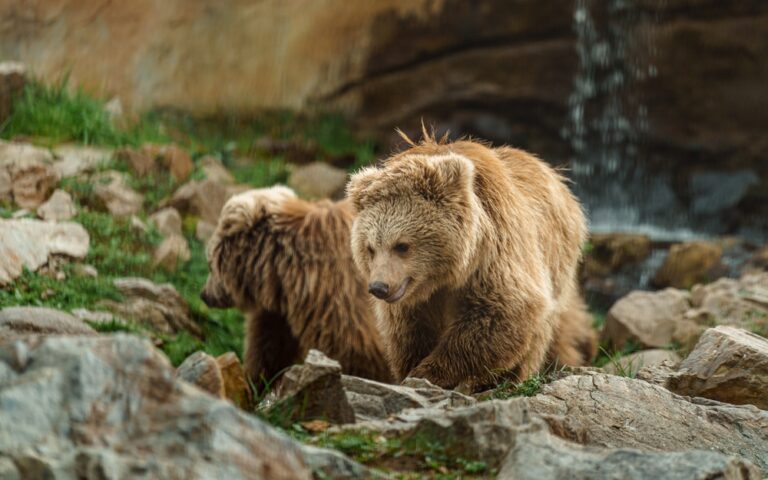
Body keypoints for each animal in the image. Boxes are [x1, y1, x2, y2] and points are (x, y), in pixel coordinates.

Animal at [201, 186, 393, 387]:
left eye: (210, 264)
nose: (204, 295)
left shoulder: (337, 292)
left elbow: (360, 350)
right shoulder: (281, 309)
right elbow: (269, 347)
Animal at [347, 132, 597, 391]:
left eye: (402, 245)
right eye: (370, 248)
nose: (379, 287)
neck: (445, 274)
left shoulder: (494, 253)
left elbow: (505, 309)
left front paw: (429, 372)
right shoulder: (413, 300)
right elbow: (410, 330)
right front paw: (412, 368)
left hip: (555, 255)